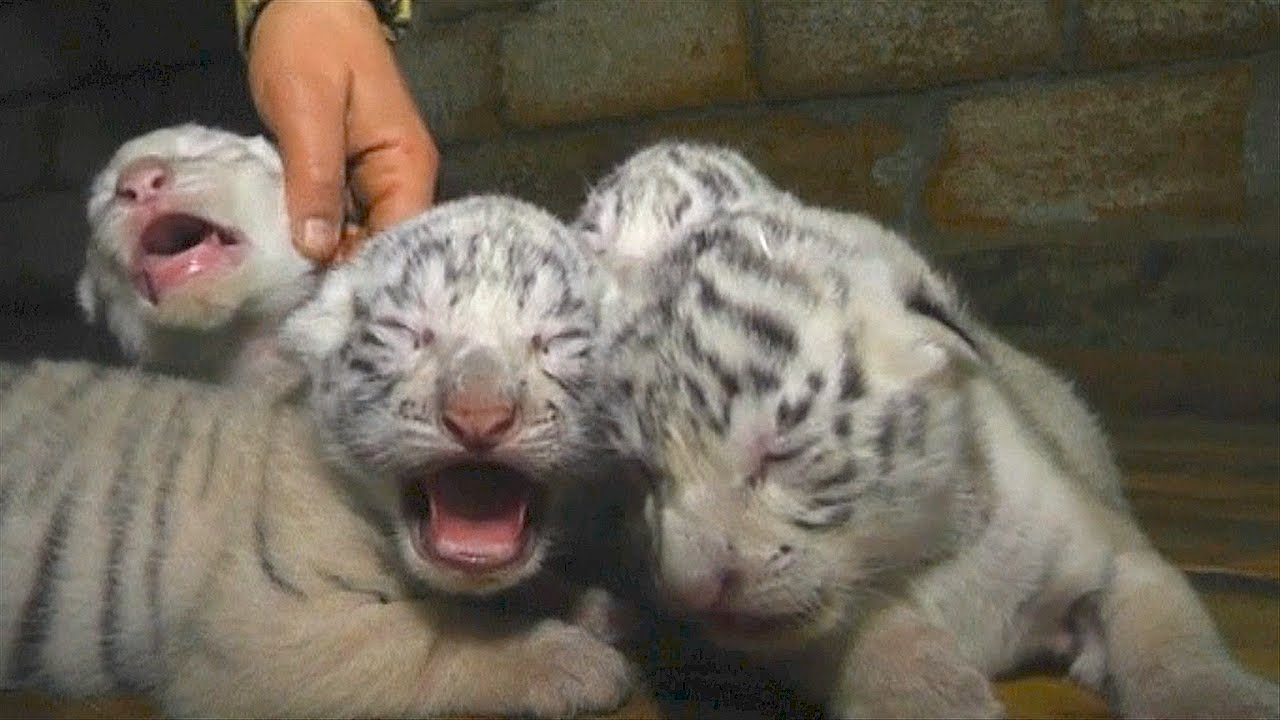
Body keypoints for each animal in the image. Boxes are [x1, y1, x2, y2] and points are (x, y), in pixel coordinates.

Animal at [0, 195, 635, 717]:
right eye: (407, 334)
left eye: (557, 342)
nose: (479, 417)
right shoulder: (257, 638)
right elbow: (428, 639)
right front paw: (571, 661)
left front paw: (591, 605)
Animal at [596, 197, 1279, 718]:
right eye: (643, 475)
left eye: (781, 452)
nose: (688, 591)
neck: (933, 552)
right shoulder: (811, 633)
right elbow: (867, 633)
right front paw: (930, 696)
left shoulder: (1121, 556)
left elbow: (1171, 635)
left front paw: (1218, 702)